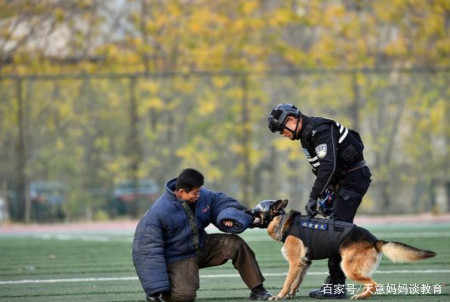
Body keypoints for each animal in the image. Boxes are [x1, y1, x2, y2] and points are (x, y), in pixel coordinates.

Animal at [256, 199, 436, 300]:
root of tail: (374, 240)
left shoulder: (294, 263)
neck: (282, 221)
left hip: (348, 268)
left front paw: (279, 296)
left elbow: (287, 282)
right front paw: (291, 295)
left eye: (258, 208)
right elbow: (296, 282)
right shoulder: (304, 264)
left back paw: (361, 297)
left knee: (373, 284)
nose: (248, 211)